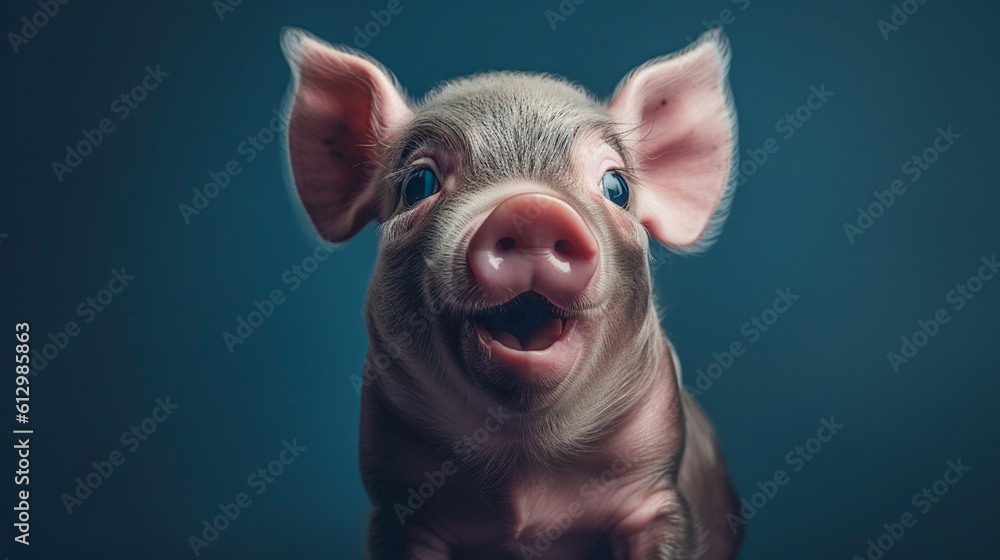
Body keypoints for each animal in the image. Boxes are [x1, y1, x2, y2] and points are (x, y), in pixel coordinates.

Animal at [279, 26, 743, 560]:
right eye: (418, 183)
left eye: (617, 187)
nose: (532, 210)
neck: (524, 471)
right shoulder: (400, 506)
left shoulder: (655, 494)